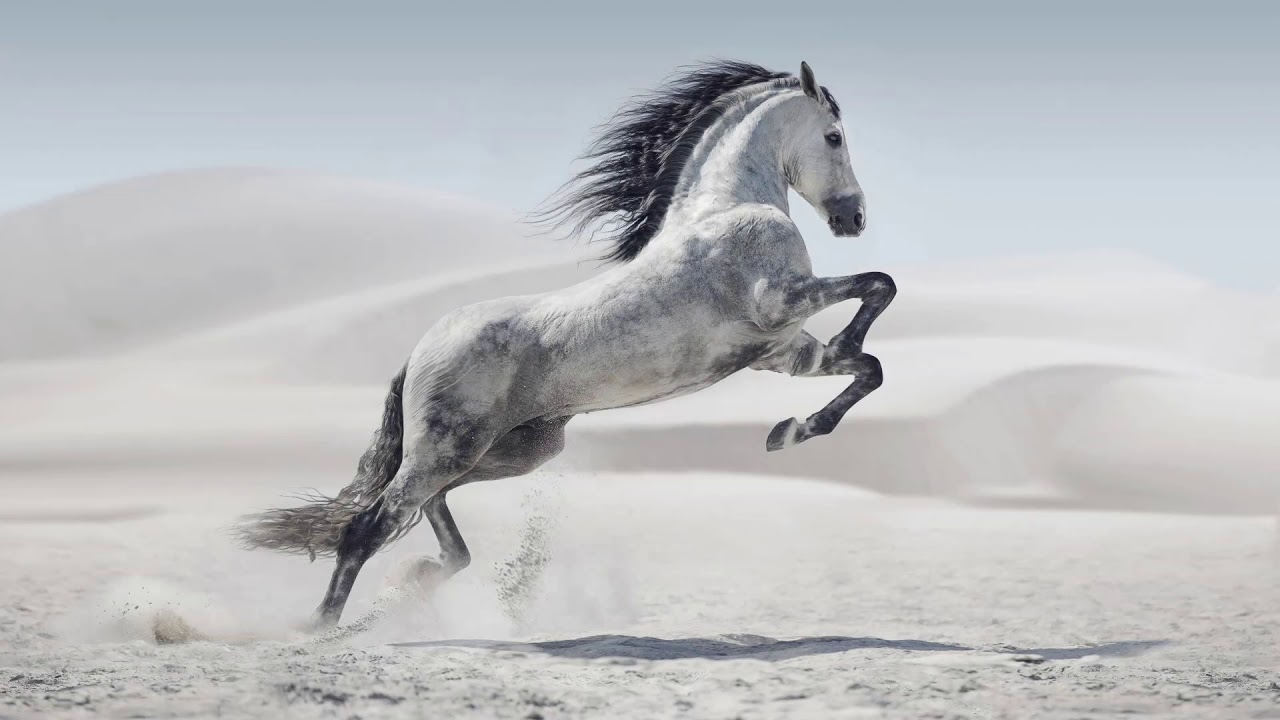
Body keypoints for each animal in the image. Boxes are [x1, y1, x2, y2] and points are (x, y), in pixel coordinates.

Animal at [237, 60, 896, 629]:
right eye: (834, 136)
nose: (855, 219)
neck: (726, 209)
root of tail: (420, 350)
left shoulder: (782, 352)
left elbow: (868, 367)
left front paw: (790, 431)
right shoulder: (778, 302)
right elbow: (879, 286)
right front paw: (809, 401)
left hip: (511, 451)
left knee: (430, 512)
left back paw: (417, 579)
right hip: (450, 449)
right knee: (369, 525)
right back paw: (320, 628)